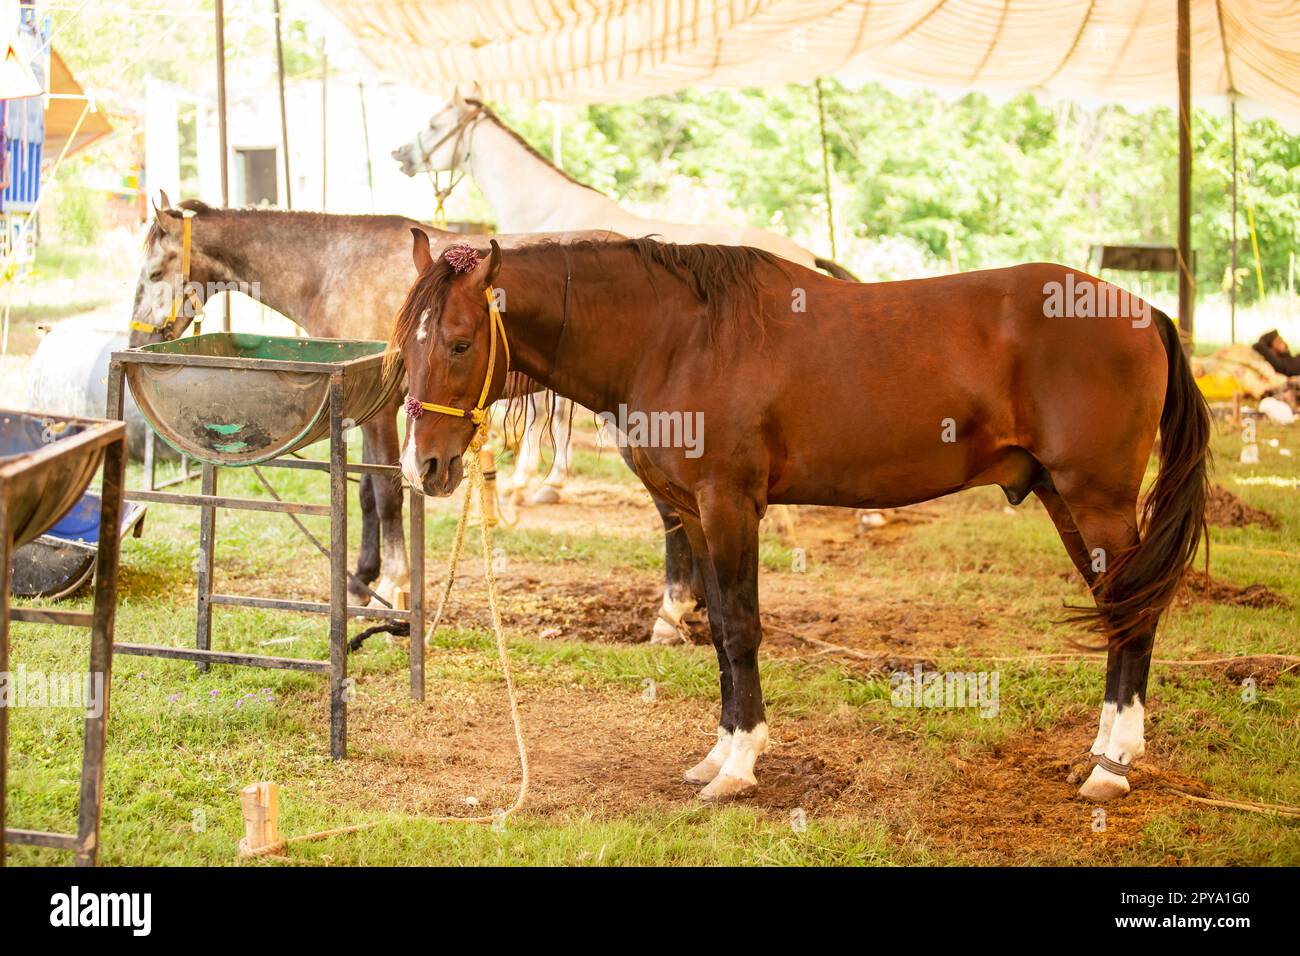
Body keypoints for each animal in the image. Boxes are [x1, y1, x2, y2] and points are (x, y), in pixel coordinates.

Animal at [391, 232, 1209, 803]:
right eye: (407, 346)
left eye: (460, 343)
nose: (423, 468)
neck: (677, 337)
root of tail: (1146, 313)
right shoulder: (694, 515)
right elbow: (721, 632)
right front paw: (717, 755)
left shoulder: (729, 506)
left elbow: (740, 630)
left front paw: (741, 764)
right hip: (1064, 500)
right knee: (1119, 612)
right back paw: (1103, 752)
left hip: (1096, 502)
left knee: (1134, 616)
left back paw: (1113, 768)